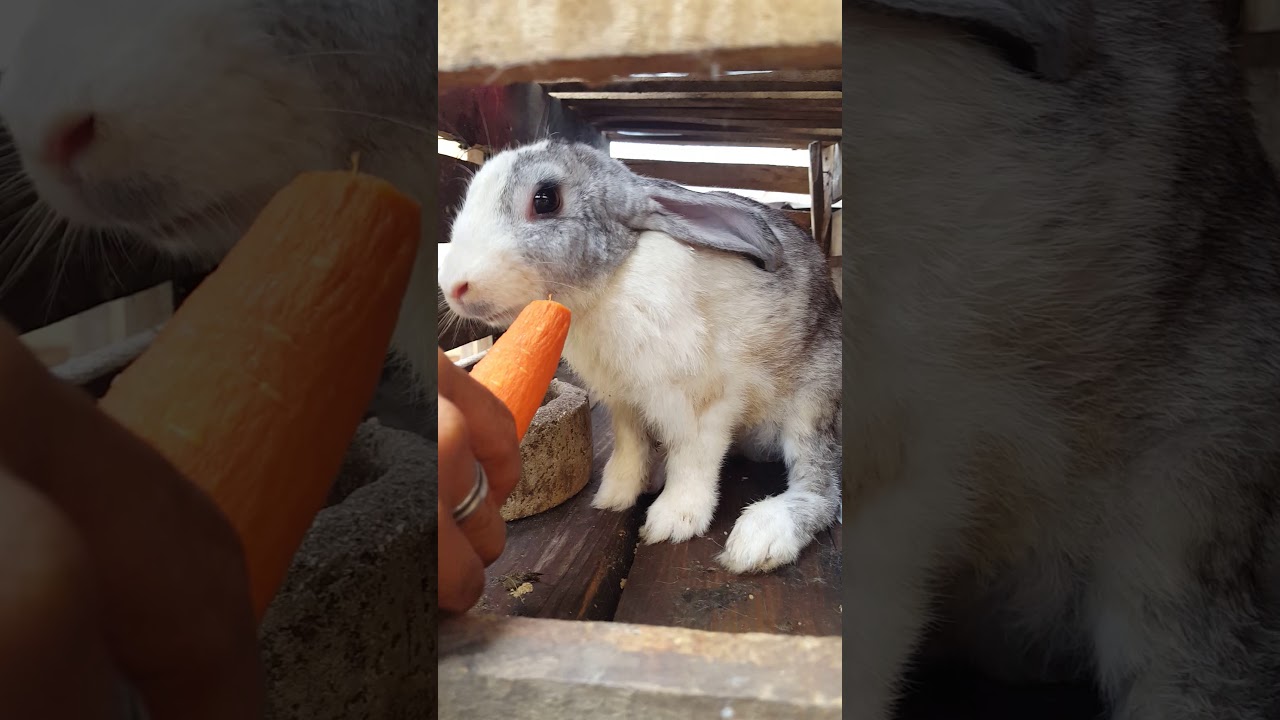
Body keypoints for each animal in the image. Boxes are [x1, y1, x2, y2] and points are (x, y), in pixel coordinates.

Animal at [438, 138, 842, 574]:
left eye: (545, 199)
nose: (454, 286)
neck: (611, 282)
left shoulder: (702, 404)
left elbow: (692, 460)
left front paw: (672, 521)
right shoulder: (625, 403)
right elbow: (630, 446)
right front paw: (615, 495)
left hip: (811, 405)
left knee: (822, 484)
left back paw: (761, 537)